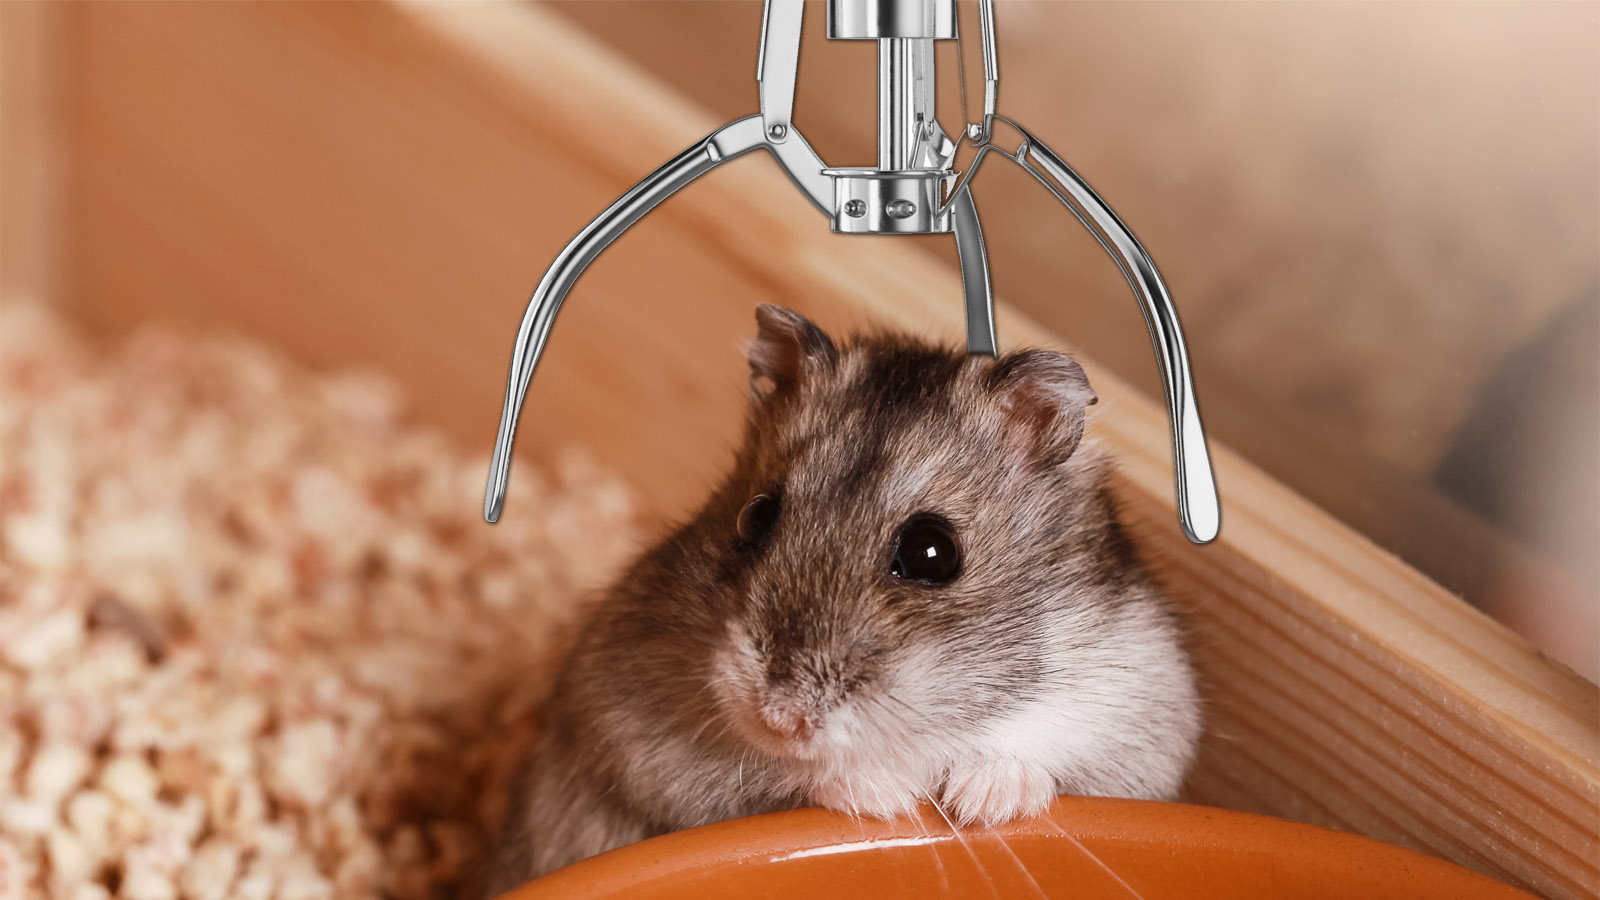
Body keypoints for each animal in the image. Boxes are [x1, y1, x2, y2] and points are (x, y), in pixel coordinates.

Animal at [476, 305, 1201, 896]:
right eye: (755, 516)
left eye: (934, 553)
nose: (780, 719)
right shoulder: (630, 725)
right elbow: (789, 780)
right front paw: (891, 798)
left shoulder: (1142, 724)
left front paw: (981, 802)